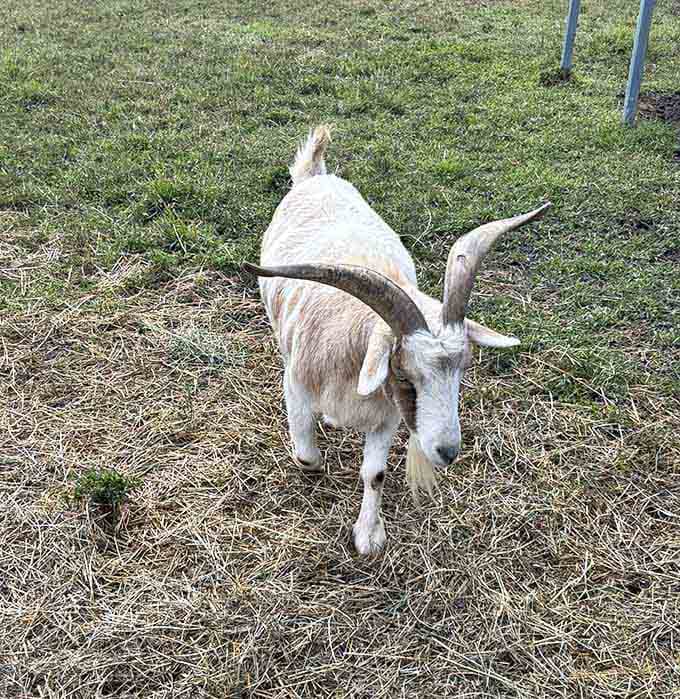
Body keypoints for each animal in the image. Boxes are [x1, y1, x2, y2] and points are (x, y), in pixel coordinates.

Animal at [244, 126, 550, 554]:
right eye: (406, 376)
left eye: (464, 370)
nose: (447, 452)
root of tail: (315, 175)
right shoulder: (298, 386)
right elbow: (306, 456)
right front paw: (317, 464)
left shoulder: (386, 414)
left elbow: (375, 473)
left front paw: (368, 536)